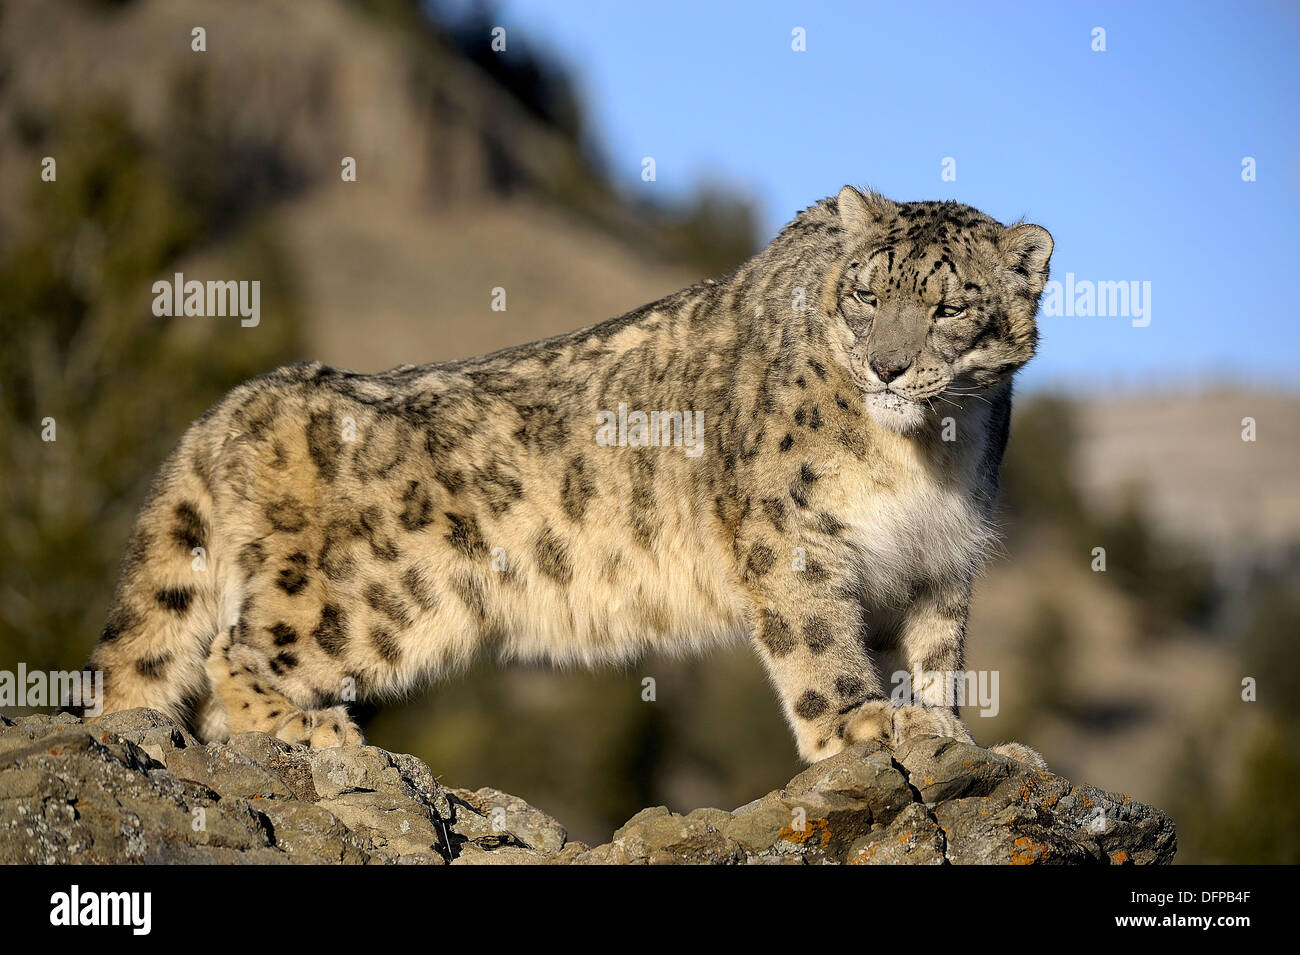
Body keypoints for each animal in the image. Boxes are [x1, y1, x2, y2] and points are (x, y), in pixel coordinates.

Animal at [82, 185, 1052, 767]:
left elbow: (938, 654)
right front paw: (859, 723)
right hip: (361, 598)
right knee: (230, 656)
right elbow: (818, 639)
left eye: (950, 305)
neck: (929, 452)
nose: (888, 366)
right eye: (866, 294)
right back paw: (309, 727)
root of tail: (246, 397)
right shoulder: (794, 533)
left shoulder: (941, 562)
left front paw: (953, 732)